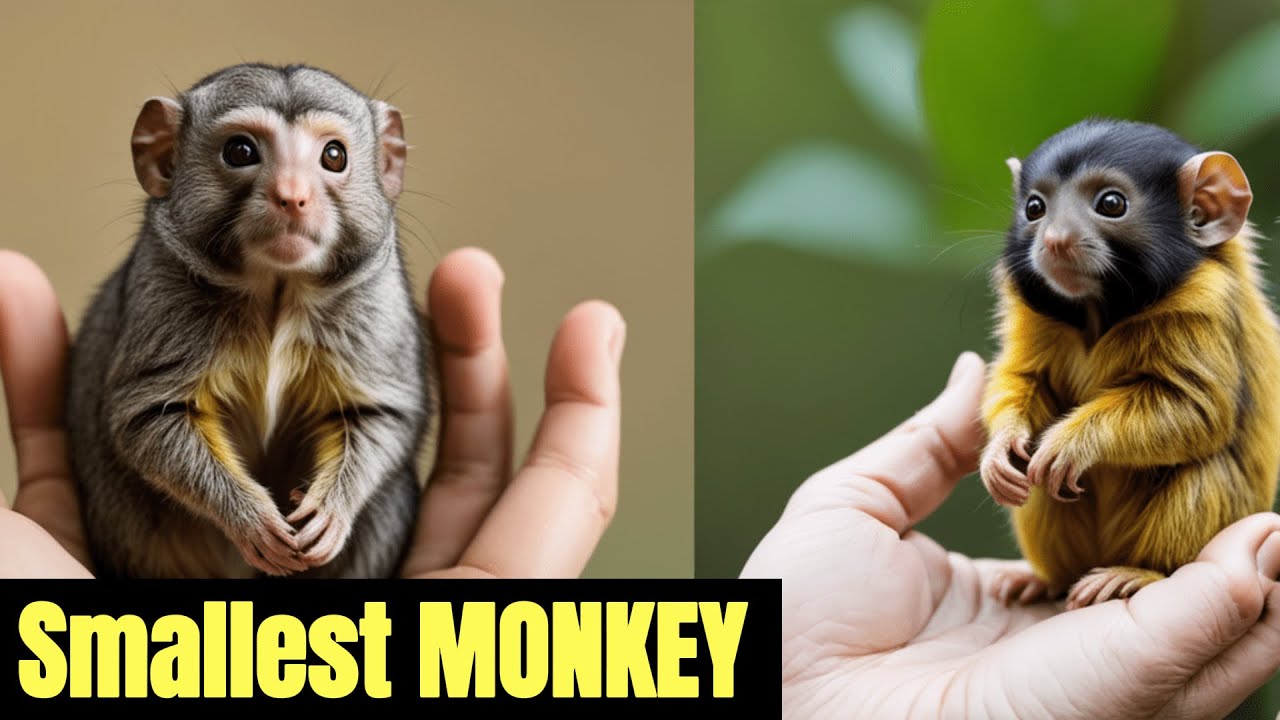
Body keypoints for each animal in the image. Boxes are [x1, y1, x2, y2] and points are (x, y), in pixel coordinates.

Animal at [64, 63, 439, 579]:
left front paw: (331, 512)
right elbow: (152, 417)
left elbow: (377, 413)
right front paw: (250, 519)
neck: (278, 291)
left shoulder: (372, 301)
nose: (292, 197)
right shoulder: (163, 291)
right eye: (240, 151)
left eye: (334, 156)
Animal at [977, 118, 1280, 610]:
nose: (1055, 240)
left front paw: (1071, 444)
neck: (1099, 309)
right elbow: (1022, 377)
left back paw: (1142, 572)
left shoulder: (1207, 302)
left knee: (1202, 468)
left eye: (1111, 204)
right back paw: (1047, 581)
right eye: (1035, 208)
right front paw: (1000, 446)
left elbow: (1196, 409)